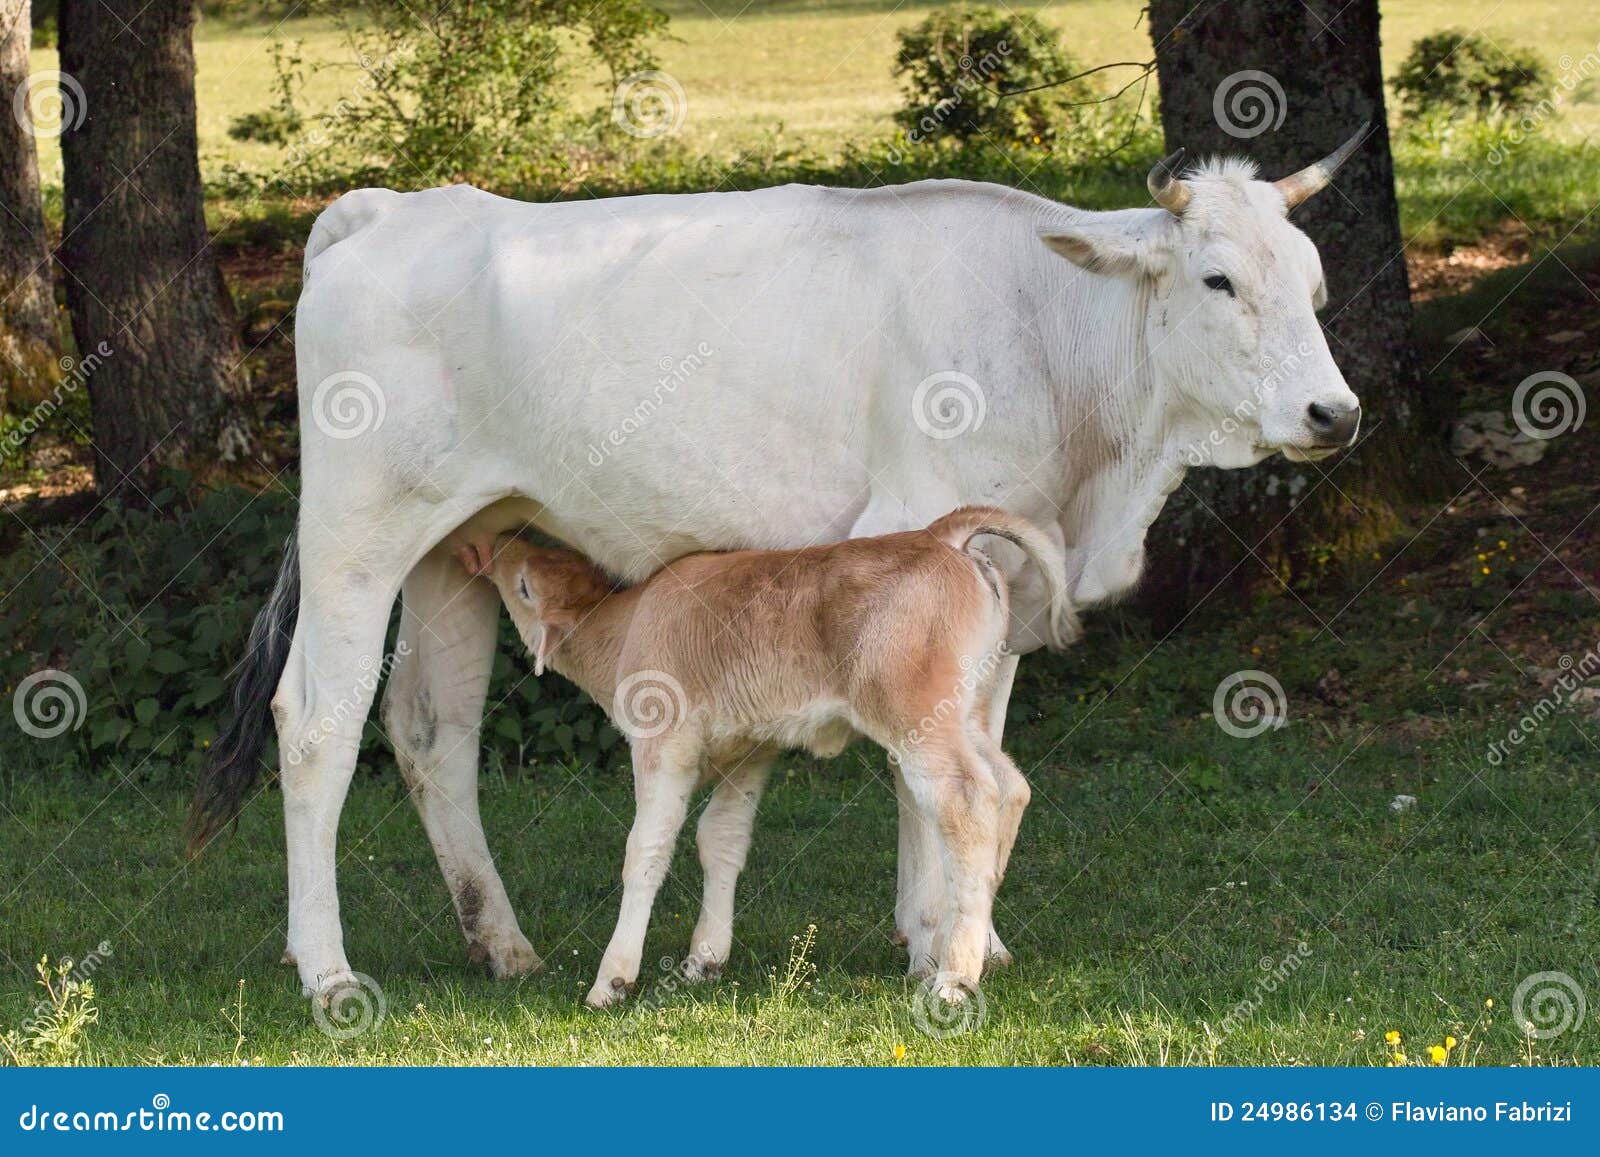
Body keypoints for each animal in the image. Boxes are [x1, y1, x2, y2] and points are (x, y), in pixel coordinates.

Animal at [188, 127, 1368, 1005]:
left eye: (1315, 286)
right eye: (1217, 279)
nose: (1334, 412)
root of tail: (389, 210)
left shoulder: (1003, 591)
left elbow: (976, 749)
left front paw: (965, 934)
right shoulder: (920, 535)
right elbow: (923, 769)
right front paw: (935, 937)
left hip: (454, 549)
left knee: (433, 733)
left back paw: (504, 943)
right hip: (357, 536)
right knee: (317, 723)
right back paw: (329, 970)